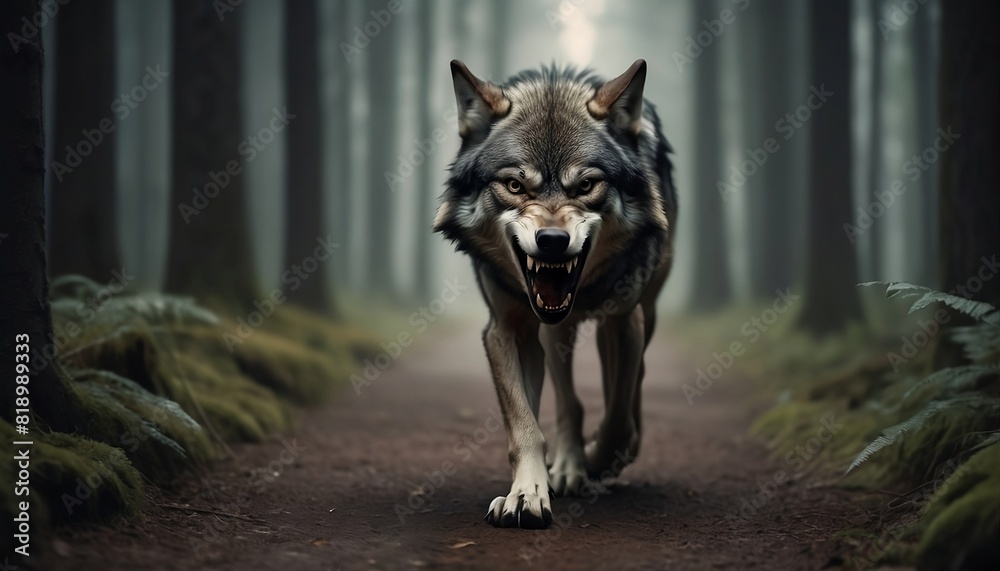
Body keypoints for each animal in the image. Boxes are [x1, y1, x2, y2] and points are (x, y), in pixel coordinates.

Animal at [434, 59, 677, 529]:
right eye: (514, 185)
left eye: (586, 185)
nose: (551, 241)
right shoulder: (507, 329)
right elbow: (525, 426)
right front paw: (526, 494)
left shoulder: (625, 318)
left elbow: (618, 417)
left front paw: (603, 457)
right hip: (552, 334)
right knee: (569, 400)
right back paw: (567, 465)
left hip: (643, 314)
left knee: (628, 386)